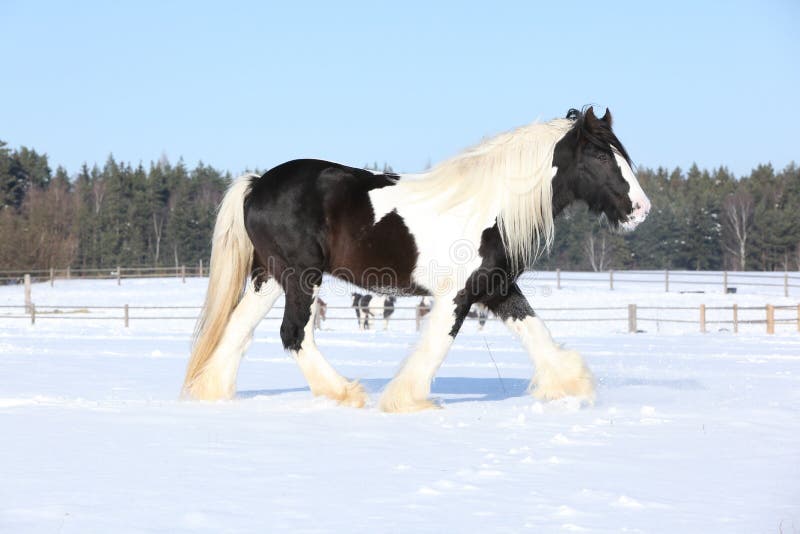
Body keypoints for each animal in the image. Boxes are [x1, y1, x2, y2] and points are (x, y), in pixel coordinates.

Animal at [182, 107, 650, 412]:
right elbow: (437, 345)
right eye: (600, 155)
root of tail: (257, 183)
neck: (491, 207)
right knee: (294, 334)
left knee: (237, 330)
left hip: (269, 277)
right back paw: (345, 393)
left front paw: (573, 387)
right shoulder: (458, 294)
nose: (641, 209)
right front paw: (407, 401)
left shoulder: (497, 288)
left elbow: (536, 333)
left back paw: (211, 393)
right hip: (300, 276)